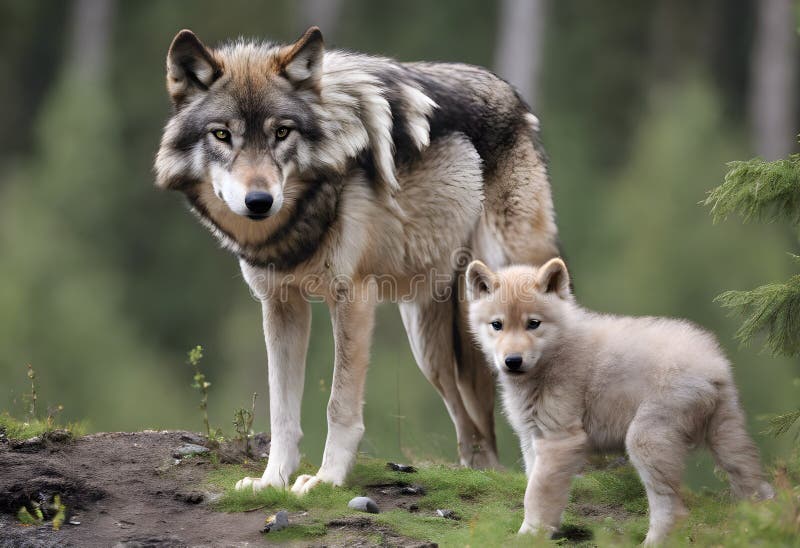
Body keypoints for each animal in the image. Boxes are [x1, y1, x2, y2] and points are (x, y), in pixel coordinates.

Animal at [154, 26, 561, 495]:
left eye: (282, 133)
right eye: (222, 135)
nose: (259, 201)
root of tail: (514, 97)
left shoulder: (352, 298)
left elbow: (339, 403)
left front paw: (327, 479)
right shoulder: (281, 304)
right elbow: (282, 410)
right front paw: (272, 481)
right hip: (432, 348)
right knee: (474, 430)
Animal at [465, 258, 773, 544]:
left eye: (533, 324)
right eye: (497, 325)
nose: (512, 361)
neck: (556, 352)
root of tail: (714, 367)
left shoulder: (559, 439)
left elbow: (537, 493)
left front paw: (530, 535)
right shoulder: (532, 439)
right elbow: (537, 484)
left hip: (646, 438)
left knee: (672, 509)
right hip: (726, 435)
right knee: (753, 482)